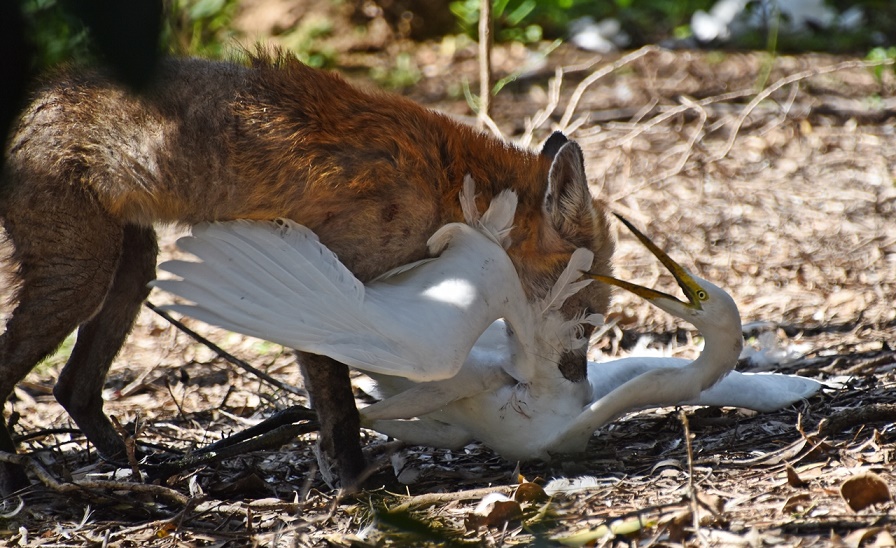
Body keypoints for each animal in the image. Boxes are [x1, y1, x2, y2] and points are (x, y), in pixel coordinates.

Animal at [0, 51, 614, 494]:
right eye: (585, 320)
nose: (578, 383)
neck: (449, 192)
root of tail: (39, 96)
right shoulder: (332, 286)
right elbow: (341, 410)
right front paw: (356, 482)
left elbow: (332, 405)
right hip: (82, 277)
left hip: (130, 268)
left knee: (73, 388)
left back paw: (142, 466)